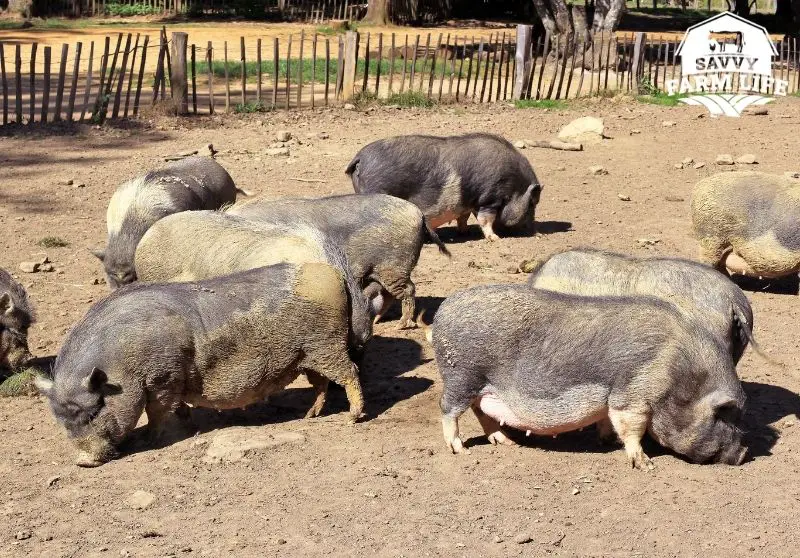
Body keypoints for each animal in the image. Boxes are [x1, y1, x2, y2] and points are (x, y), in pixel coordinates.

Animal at [35, 263, 365, 467]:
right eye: (59, 419)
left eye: (94, 411)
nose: (83, 461)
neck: (121, 366)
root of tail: (334, 274)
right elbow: (176, 406)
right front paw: (185, 422)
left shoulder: (162, 377)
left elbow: (156, 411)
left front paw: (150, 437)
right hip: (307, 355)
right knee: (321, 384)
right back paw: (310, 416)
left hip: (326, 345)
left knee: (350, 373)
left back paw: (352, 418)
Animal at [227, 193, 450, 329]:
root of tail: (419, 214)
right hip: (384, 269)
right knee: (388, 293)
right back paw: (378, 321)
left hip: (393, 266)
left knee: (408, 290)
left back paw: (401, 325)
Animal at [346, 133, 543, 241]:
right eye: (532, 204)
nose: (537, 233)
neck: (515, 185)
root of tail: (360, 157)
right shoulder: (490, 198)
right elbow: (486, 219)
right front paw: (495, 238)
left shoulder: (467, 202)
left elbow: (463, 217)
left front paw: (465, 233)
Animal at [430, 285, 747, 468]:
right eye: (723, 414)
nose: (744, 453)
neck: (680, 374)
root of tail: (441, 313)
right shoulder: (632, 395)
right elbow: (632, 427)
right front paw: (644, 464)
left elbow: (609, 421)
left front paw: (607, 442)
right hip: (461, 375)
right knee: (448, 409)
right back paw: (460, 450)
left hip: (479, 386)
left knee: (481, 412)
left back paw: (505, 442)